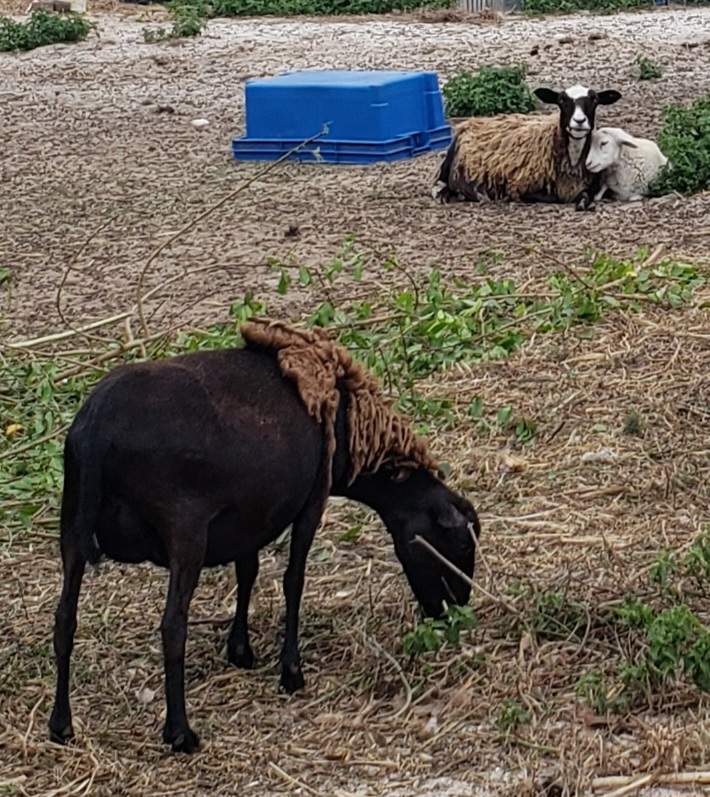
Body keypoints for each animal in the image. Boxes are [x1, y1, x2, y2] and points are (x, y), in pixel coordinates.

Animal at [49, 321, 480, 754]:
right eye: (461, 543)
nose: (454, 609)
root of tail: (95, 430)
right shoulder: (312, 499)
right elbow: (293, 580)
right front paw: (291, 671)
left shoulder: (250, 515)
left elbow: (248, 571)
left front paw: (241, 650)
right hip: (184, 528)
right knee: (172, 625)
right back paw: (180, 732)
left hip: (71, 522)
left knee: (65, 619)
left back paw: (61, 725)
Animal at [433, 84, 622, 211]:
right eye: (561, 100)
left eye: (595, 99)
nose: (579, 122)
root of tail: (470, 123)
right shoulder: (520, 188)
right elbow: (557, 198)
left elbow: (585, 196)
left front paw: (584, 203)